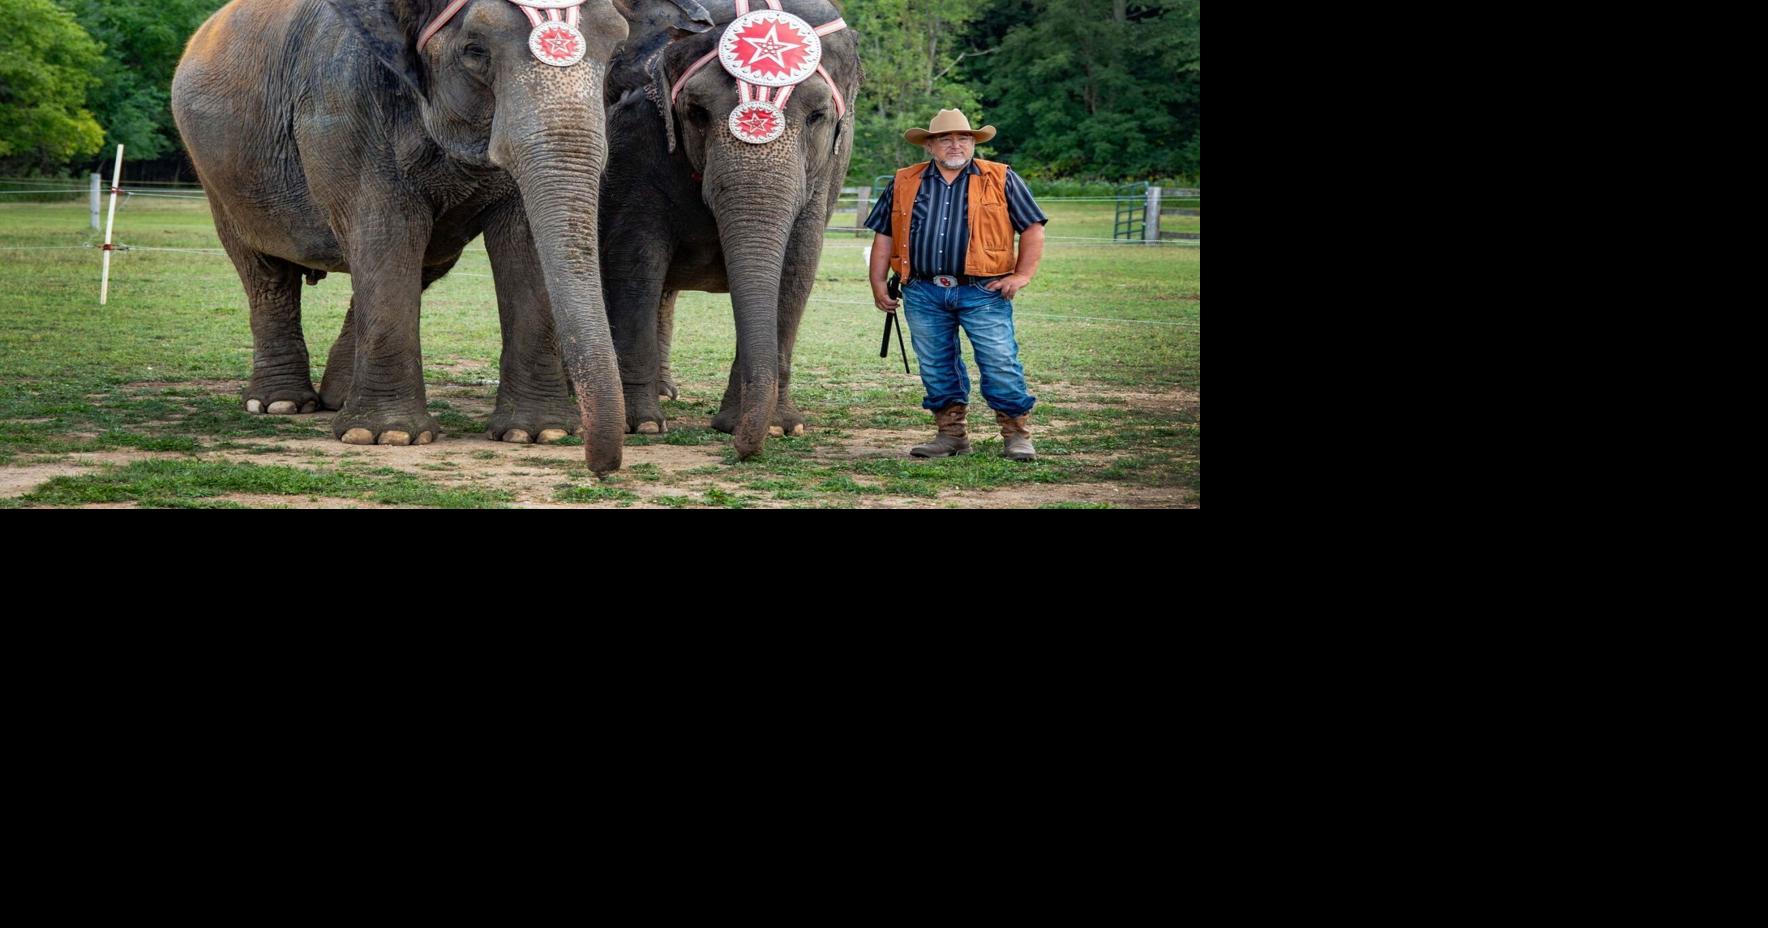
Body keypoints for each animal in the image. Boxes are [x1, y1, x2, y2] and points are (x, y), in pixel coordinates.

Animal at [171, 0, 714, 475]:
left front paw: (538, 434)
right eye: (475, 51)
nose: (602, 470)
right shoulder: (344, 101)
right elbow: (386, 228)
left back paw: (336, 399)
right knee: (265, 273)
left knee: (416, 265)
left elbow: (521, 239)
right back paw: (281, 404)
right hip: (218, 176)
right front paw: (385, 437)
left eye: (616, 51)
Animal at [597, 0, 860, 458]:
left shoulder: (828, 170)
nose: (740, 448)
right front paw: (641, 425)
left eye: (818, 116)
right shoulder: (634, 137)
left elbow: (796, 268)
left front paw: (780, 428)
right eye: (696, 113)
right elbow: (633, 259)